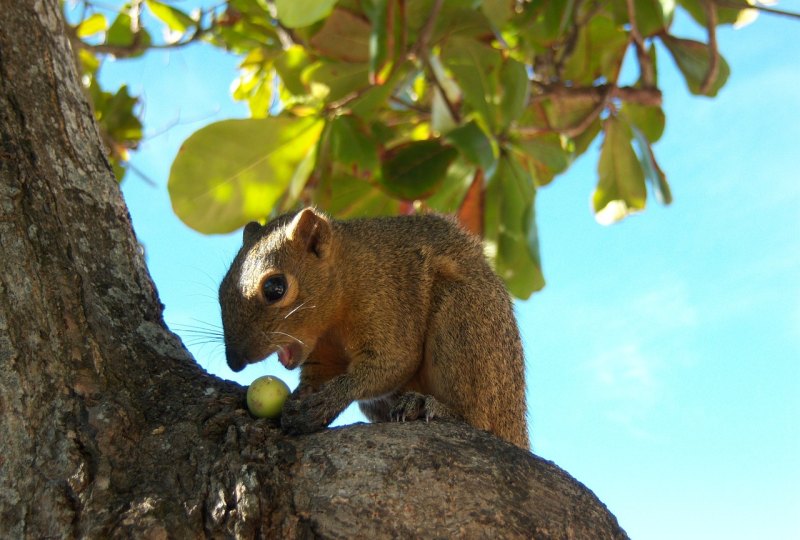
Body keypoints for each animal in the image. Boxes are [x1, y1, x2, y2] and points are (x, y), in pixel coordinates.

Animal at [219, 209, 532, 450]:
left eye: (275, 287)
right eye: (221, 290)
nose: (234, 361)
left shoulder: (388, 301)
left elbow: (391, 364)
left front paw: (326, 402)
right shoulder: (322, 355)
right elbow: (319, 377)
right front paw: (301, 397)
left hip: (465, 322)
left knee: (474, 418)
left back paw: (428, 406)